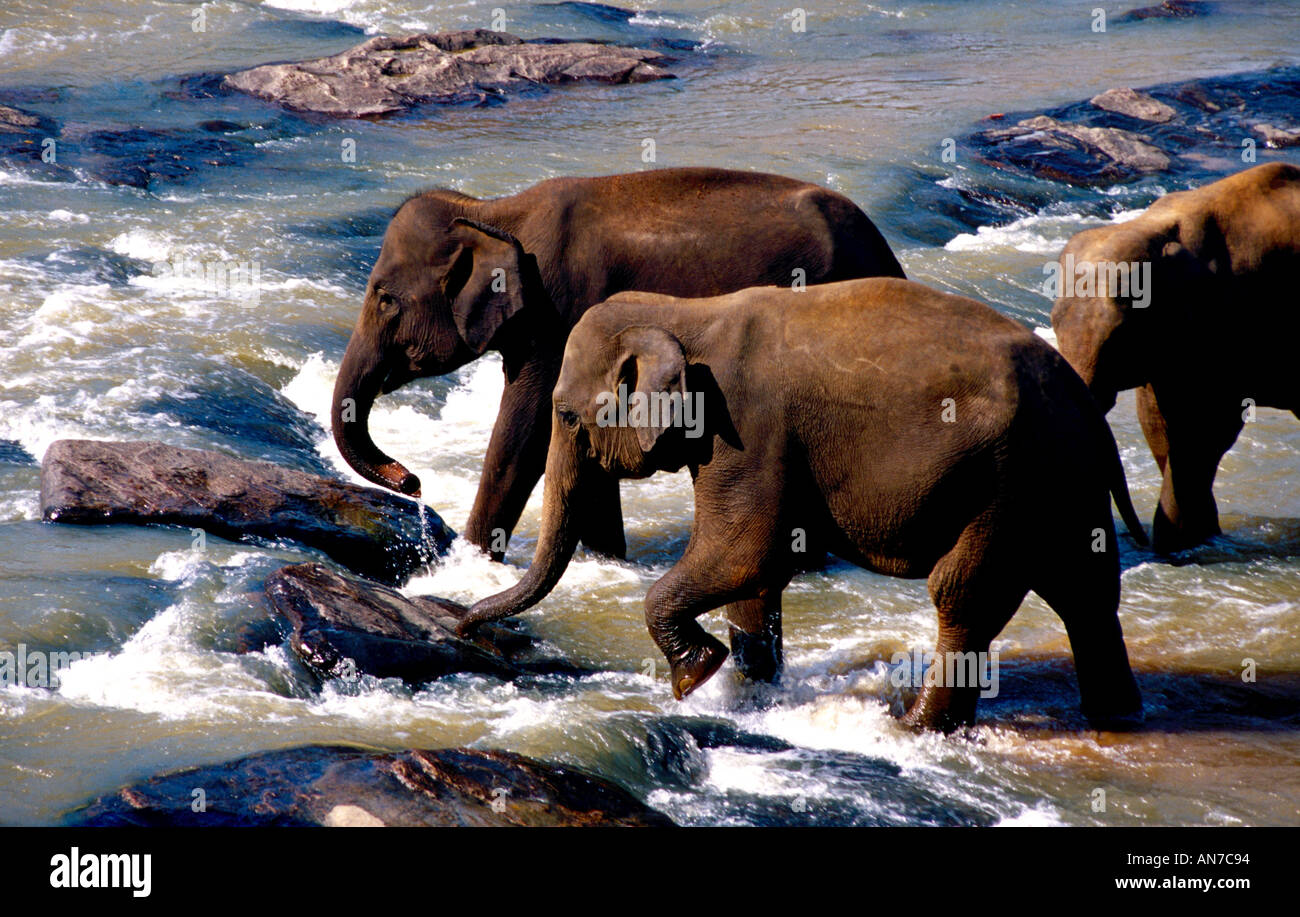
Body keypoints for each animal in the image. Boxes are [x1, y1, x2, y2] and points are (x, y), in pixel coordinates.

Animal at [331, 167, 905, 563]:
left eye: (384, 299)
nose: (412, 481)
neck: (494, 213)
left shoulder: (557, 315)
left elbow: (526, 431)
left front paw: (469, 565)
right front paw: (608, 558)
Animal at [456, 277, 1148, 732]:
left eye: (567, 415)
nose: (464, 624)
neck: (687, 312)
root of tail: (1088, 407)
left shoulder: (747, 428)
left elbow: (745, 553)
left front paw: (696, 676)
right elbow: (754, 578)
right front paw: (751, 692)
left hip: (1007, 480)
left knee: (965, 595)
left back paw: (913, 728)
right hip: (1061, 484)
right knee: (1087, 594)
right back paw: (1115, 716)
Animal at [1051, 162, 1300, 553]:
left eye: (1119, 336)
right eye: (1052, 324)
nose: (1136, 539)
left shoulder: (1232, 322)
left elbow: (1203, 429)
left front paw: (1178, 544)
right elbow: (1157, 423)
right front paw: (1200, 536)